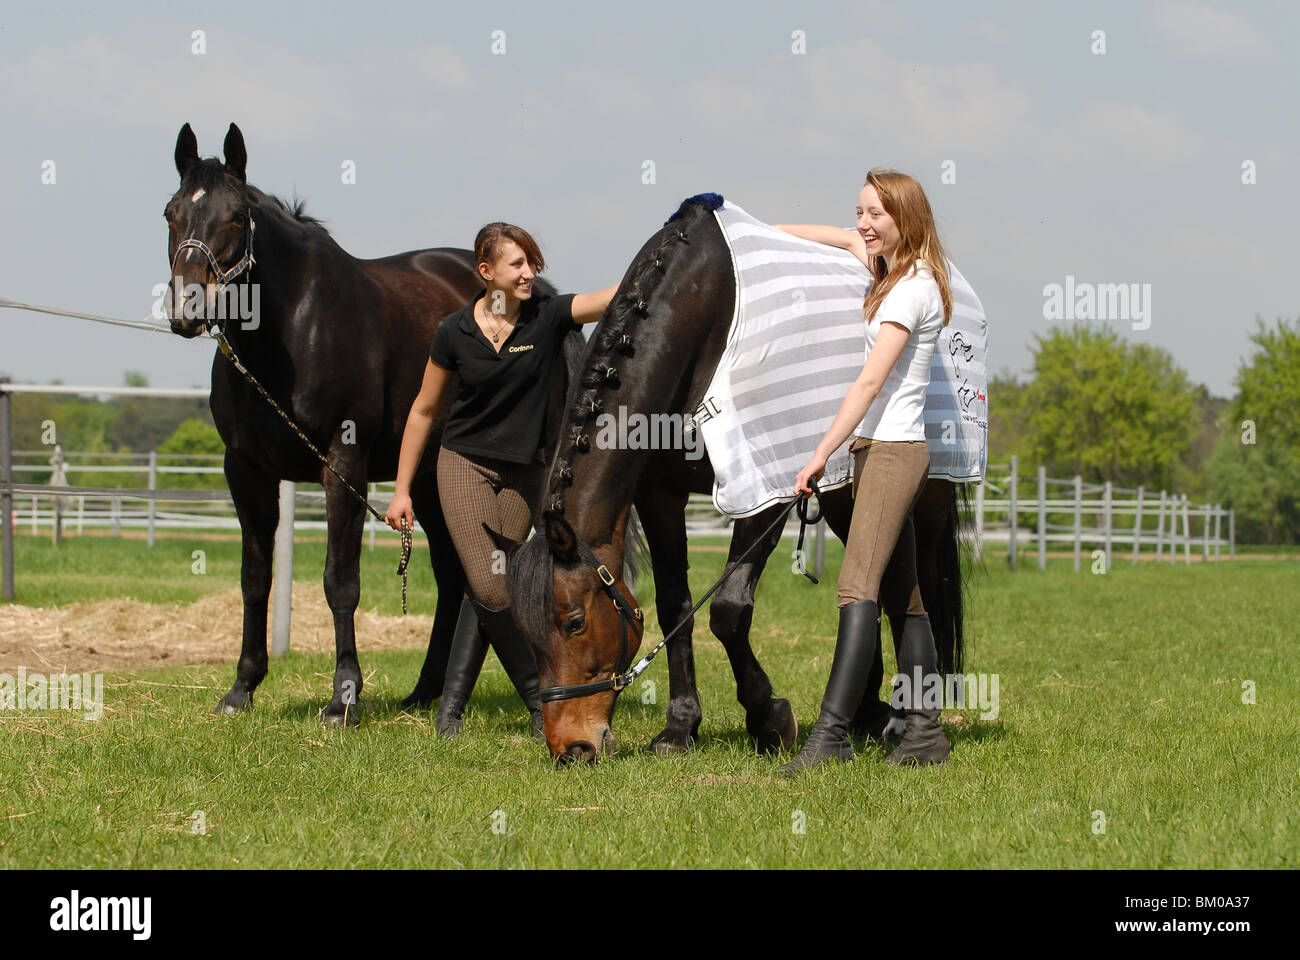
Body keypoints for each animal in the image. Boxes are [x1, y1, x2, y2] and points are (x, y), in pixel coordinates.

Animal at [162, 122, 582, 724]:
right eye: (171, 213)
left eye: (237, 216)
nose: (188, 310)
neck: (291, 330)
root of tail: (545, 297)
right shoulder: (245, 471)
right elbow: (254, 579)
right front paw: (241, 688)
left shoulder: (344, 464)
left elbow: (340, 581)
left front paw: (343, 698)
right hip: (429, 480)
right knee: (455, 578)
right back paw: (426, 691)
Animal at [501, 195, 966, 762]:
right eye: (525, 632)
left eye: (574, 622)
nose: (571, 748)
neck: (703, 321)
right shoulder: (661, 494)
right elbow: (674, 604)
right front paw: (680, 726)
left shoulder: (764, 490)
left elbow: (727, 610)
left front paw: (769, 718)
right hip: (843, 495)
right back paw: (868, 713)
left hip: (924, 494)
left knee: (920, 586)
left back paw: (906, 718)